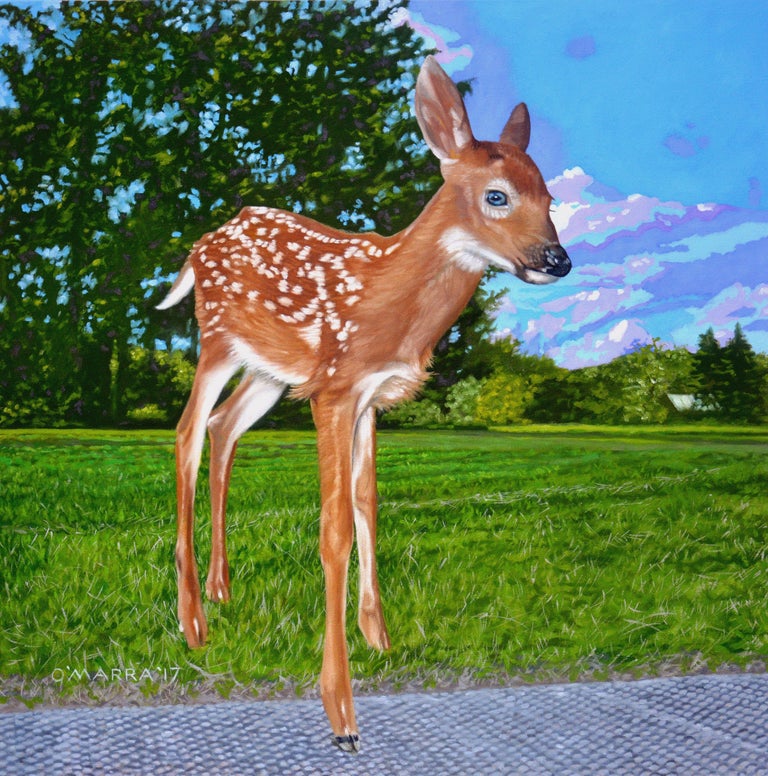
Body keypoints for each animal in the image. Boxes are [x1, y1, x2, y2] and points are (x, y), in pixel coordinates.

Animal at [156, 55, 571, 752]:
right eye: (497, 195)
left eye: (550, 198)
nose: (558, 259)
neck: (391, 302)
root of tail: (201, 243)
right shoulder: (334, 390)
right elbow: (335, 530)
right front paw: (342, 713)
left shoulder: (371, 397)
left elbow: (369, 504)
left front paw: (380, 638)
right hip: (217, 339)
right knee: (187, 431)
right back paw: (193, 623)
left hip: (269, 373)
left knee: (221, 426)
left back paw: (221, 591)